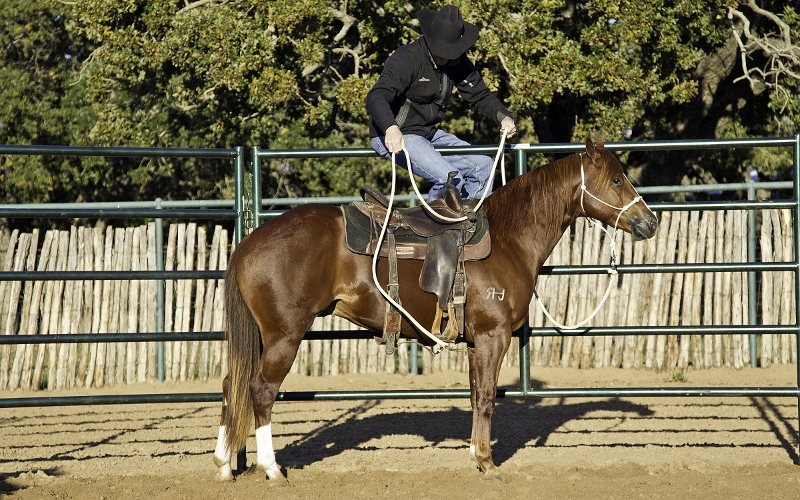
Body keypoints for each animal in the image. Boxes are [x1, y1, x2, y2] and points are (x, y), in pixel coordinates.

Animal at [212, 137, 658, 481]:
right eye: (616, 179)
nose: (650, 222)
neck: (510, 238)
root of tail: (249, 242)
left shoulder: (478, 342)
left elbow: (477, 395)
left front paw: (476, 455)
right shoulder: (494, 337)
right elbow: (487, 398)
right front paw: (488, 464)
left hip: (261, 337)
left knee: (232, 385)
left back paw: (223, 464)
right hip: (284, 335)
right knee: (261, 391)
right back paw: (271, 469)